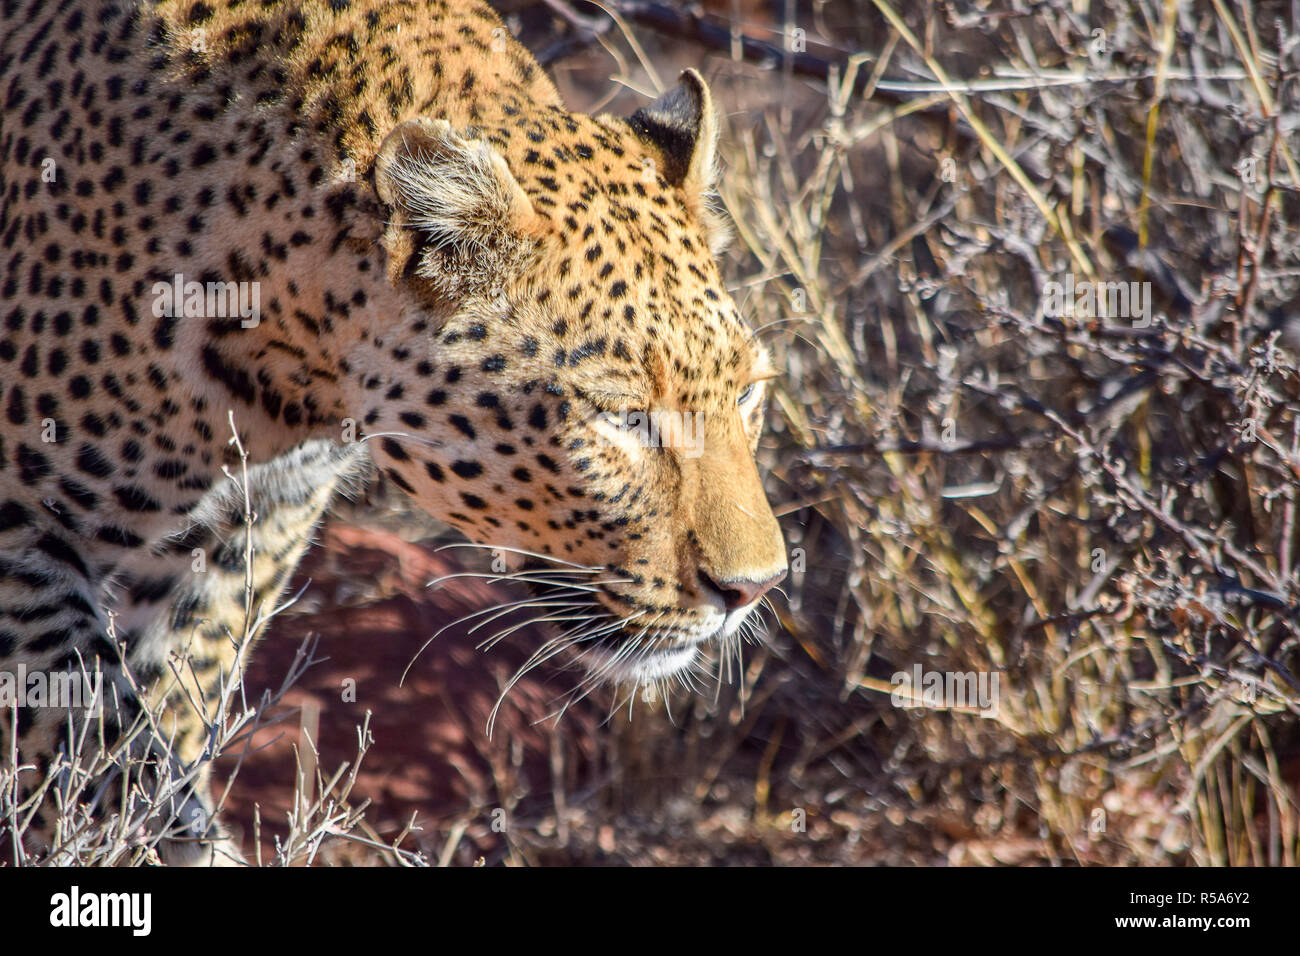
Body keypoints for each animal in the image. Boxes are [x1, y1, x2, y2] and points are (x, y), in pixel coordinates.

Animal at [0, 0, 788, 864]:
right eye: (622, 417)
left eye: (747, 393)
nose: (755, 589)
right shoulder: (23, 532)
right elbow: (91, 745)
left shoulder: (249, 526)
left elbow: (172, 698)